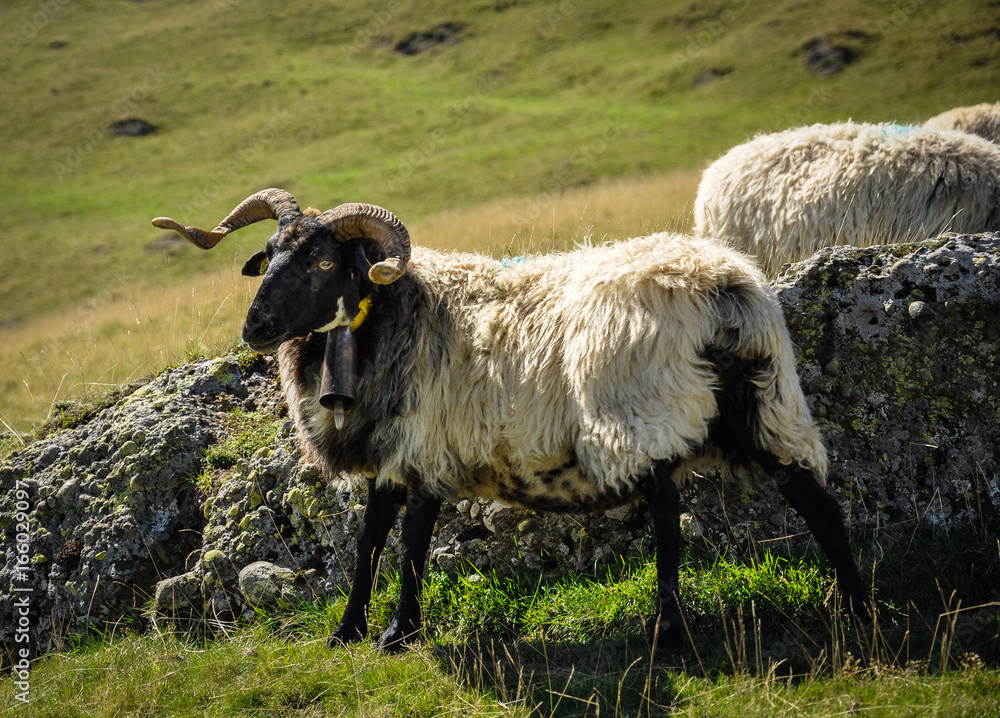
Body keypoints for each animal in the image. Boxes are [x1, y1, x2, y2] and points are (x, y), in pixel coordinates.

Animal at [152, 188, 871, 652]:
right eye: (271, 251)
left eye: (326, 262)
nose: (256, 329)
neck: (391, 318)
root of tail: (723, 291)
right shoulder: (391, 455)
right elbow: (367, 544)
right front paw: (347, 631)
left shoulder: (425, 451)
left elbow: (410, 547)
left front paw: (398, 634)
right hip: (767, 405)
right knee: (816, 500)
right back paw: (855, 607)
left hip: (637, 412)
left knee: (667, 515)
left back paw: (667, 632)